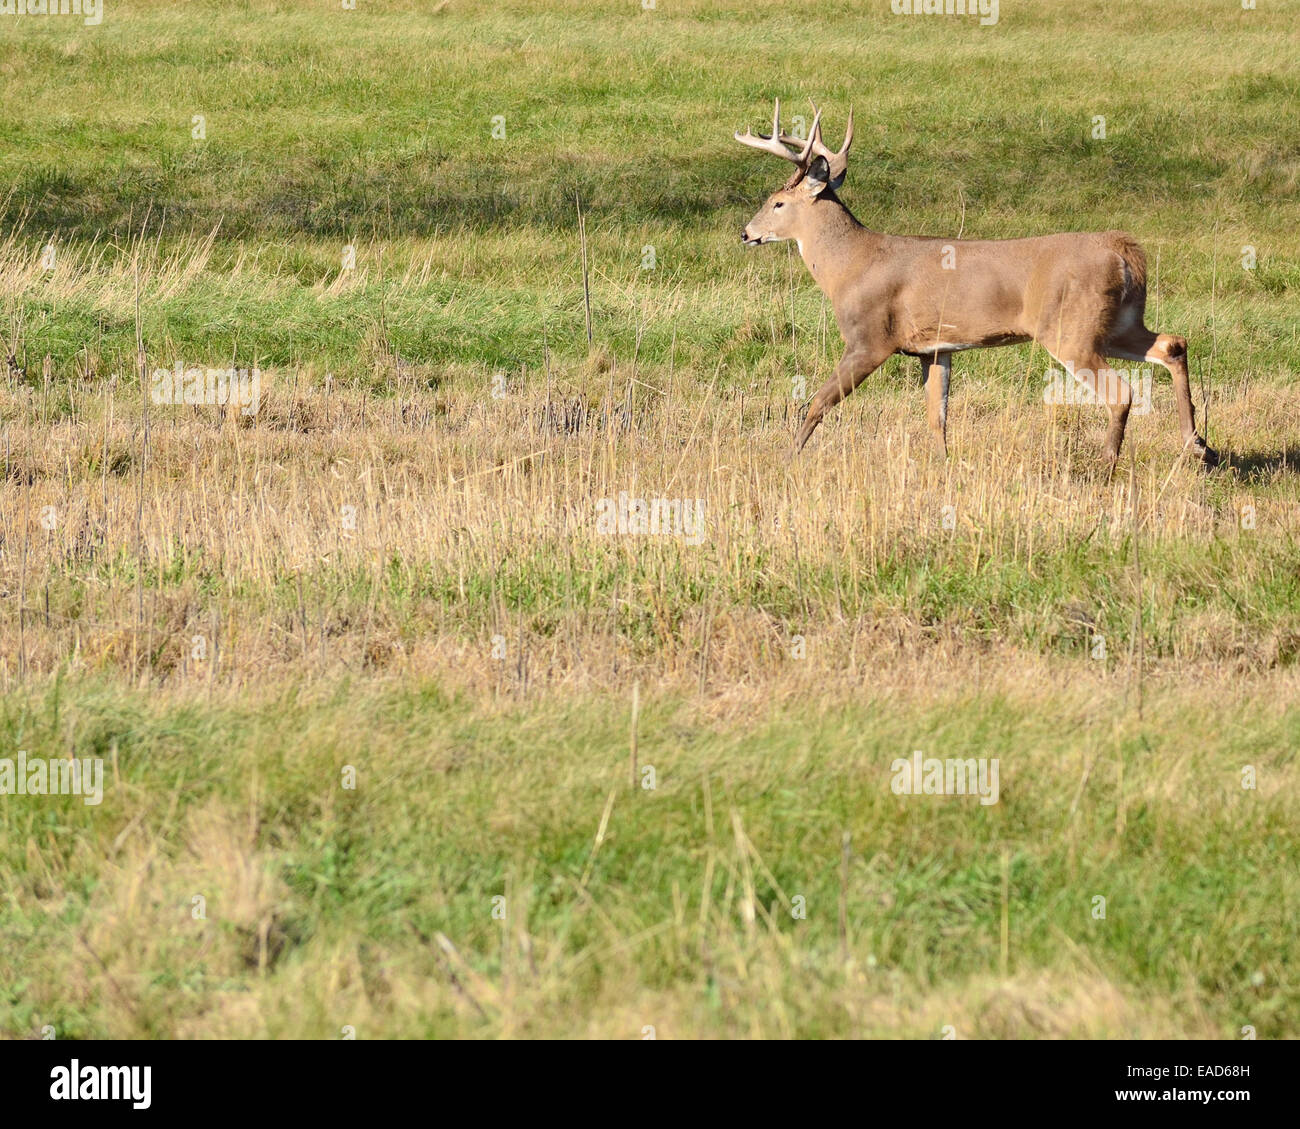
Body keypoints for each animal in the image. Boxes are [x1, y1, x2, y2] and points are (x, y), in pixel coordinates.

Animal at [735, 99, 1218, 470]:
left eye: (777, 203)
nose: (745, 232)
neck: (850, 265)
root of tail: (1125, 251)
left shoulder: (870, 338)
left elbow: (818, 402)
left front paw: (787, 458)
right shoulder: (935, 348)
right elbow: (937, 415)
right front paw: (942, 464)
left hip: (1070, 328)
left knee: (1121, 391)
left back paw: (1107, 465)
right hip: (1116, 323)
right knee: (1173, 344)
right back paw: (1198, 445)